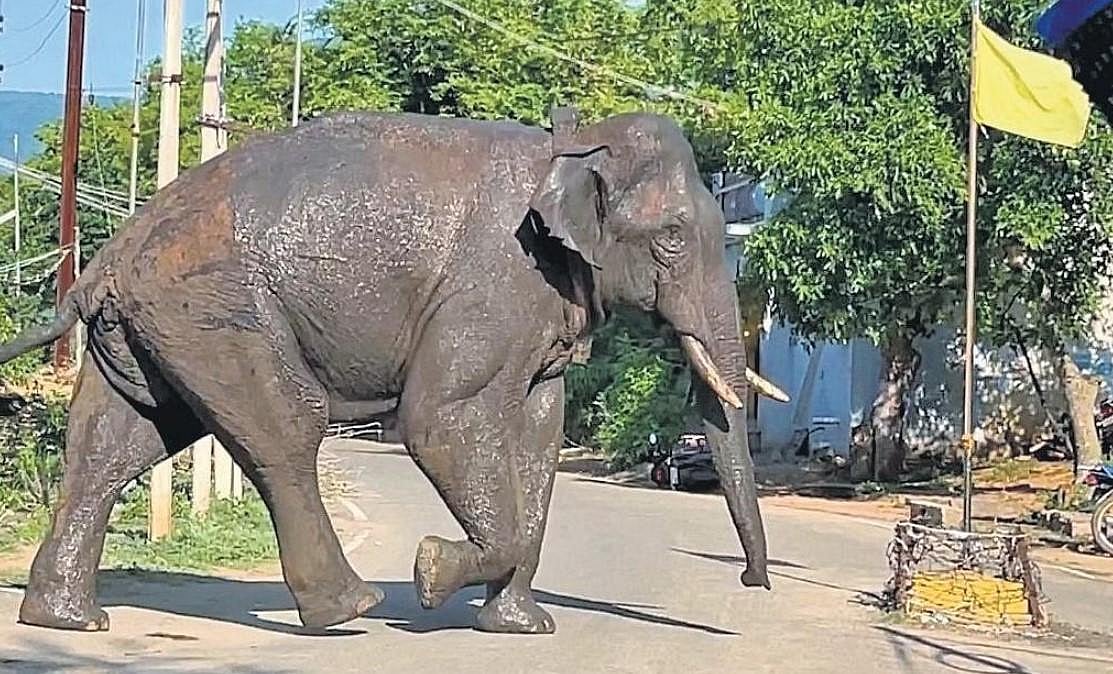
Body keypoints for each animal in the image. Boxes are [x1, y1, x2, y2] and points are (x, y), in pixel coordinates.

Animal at [0, 106, 785, 634]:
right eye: (673, 239)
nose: (753, 581)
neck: (567, 145)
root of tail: (104, 260)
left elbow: (538, 434)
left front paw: (521, 628)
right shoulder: (495, 283)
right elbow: (443, 419)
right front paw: (431, 573)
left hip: (156, 325)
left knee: (116, 443)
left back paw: (67, 621)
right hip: (216, 307)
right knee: (285, 430)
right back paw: (352, 608)